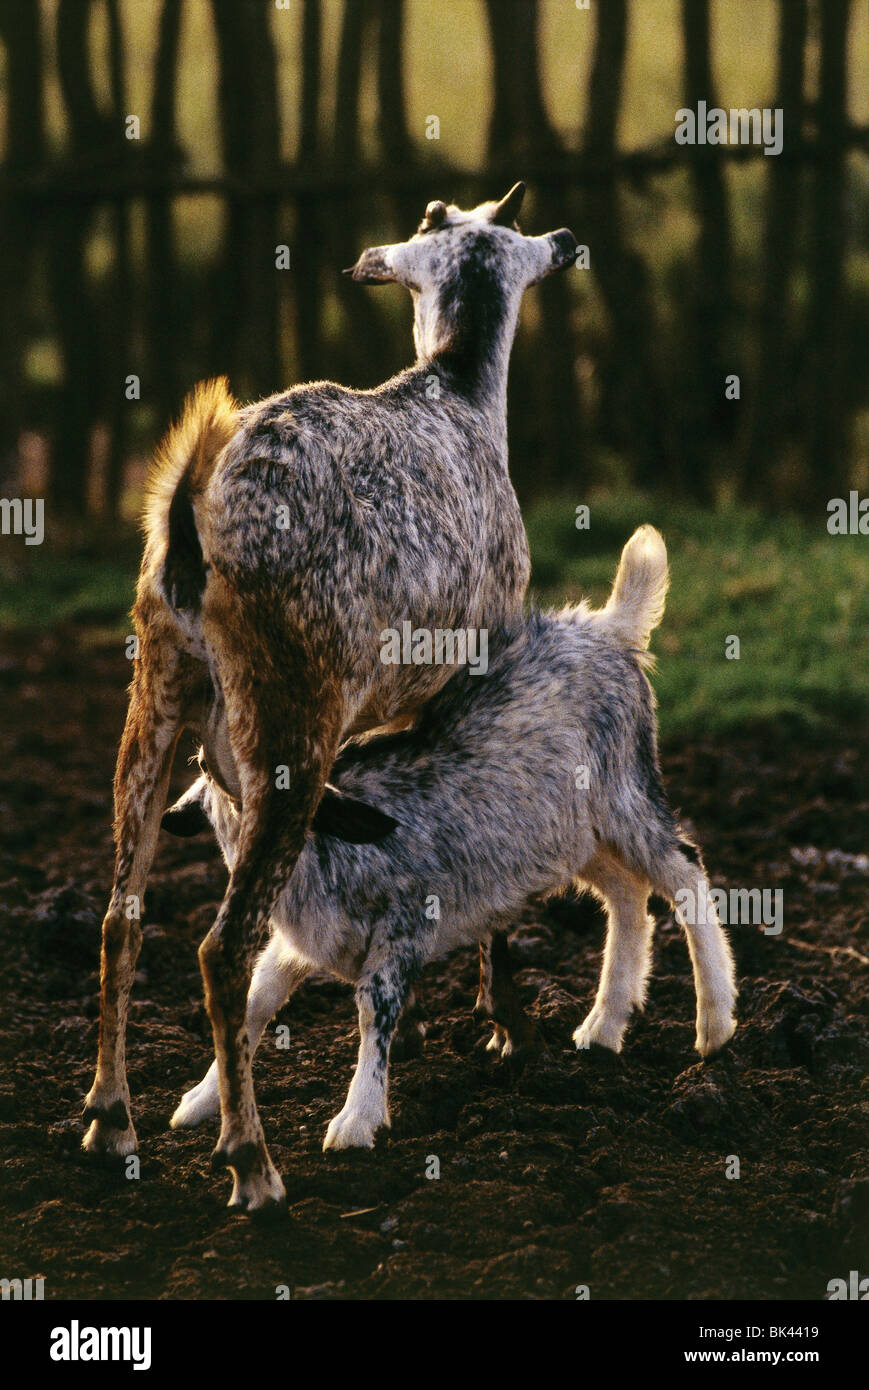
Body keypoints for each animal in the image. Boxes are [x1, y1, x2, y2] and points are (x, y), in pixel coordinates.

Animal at [81, 183, 578, 1212]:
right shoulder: (478, 655)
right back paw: (252, 1164)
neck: (458, 390)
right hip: (289, 709)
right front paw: (504, 1022)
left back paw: (110, 1121)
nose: (566, 238)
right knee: (222, 945)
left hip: (157, 692)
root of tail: (188, 527)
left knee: (121, 915)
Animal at [167, 527, 738, 1178]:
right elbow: (257, 1000)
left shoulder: (403, 929)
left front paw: (356, 1122)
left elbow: (373, 1012)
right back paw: (604, 1024)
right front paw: (200, 1102)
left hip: (626, 790)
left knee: (684, 871)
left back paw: (714, 1023)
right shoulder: (304, 938)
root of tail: (605, 625)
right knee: (628, 894)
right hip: (569, 834)